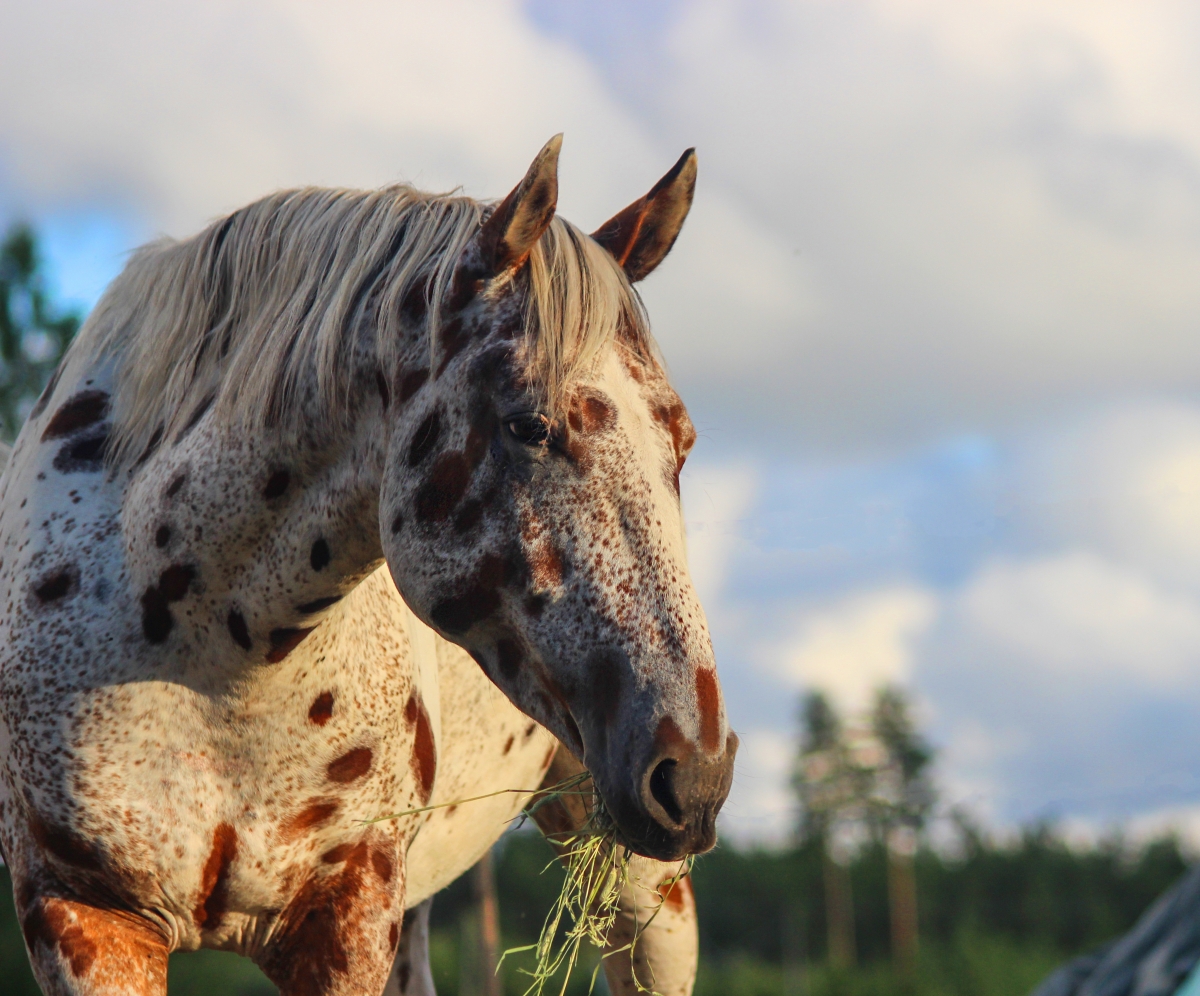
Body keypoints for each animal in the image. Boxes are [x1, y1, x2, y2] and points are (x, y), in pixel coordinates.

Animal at [0, 135, 737, 996]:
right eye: (529, 425)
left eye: (681, 443)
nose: (694, 775)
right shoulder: (84, 915)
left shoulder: (347, 909)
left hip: (643, 890)